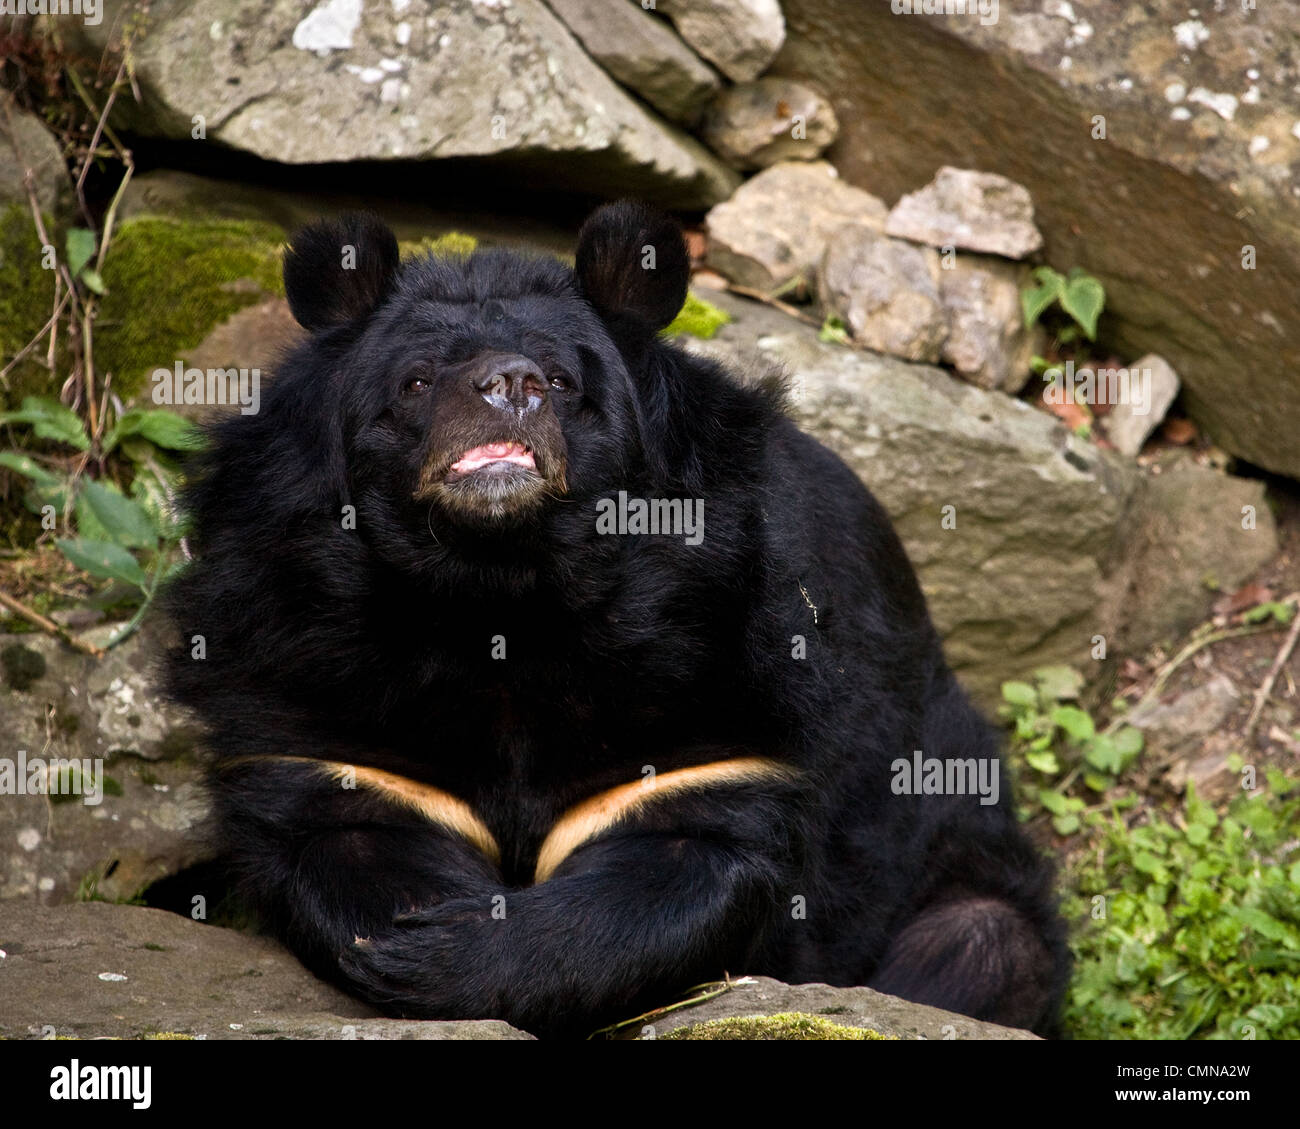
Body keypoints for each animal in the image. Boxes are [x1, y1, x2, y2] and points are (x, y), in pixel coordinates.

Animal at [161, 202, 1070, 1039]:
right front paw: (402, 936)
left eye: (562, 380)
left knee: (981, 941)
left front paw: (445, 955)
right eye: (416, 380)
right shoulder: (308, 670)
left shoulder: (722, 670)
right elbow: (348, 829)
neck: (497, 589)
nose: (508, 386)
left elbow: (680, 867)